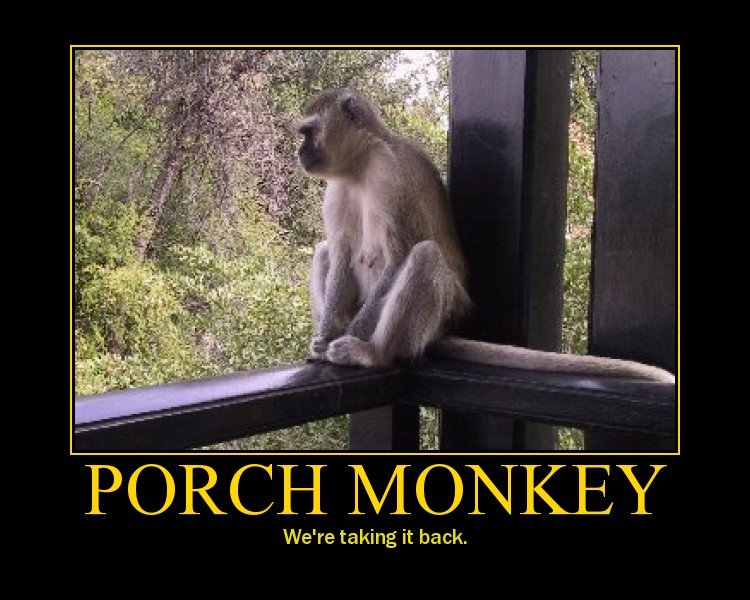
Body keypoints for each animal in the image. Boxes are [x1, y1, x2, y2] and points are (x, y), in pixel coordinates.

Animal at [295, 88, 675, 384]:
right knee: (326, 251)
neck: (359, 166)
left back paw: (373, 352)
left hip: (441, 315)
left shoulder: (389, 175)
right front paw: (325, 335)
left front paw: (347, 337)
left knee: (425, 257)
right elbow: (341, 254)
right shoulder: (336, 189)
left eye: (309, 132)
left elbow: (400, 256)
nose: (300, 151)